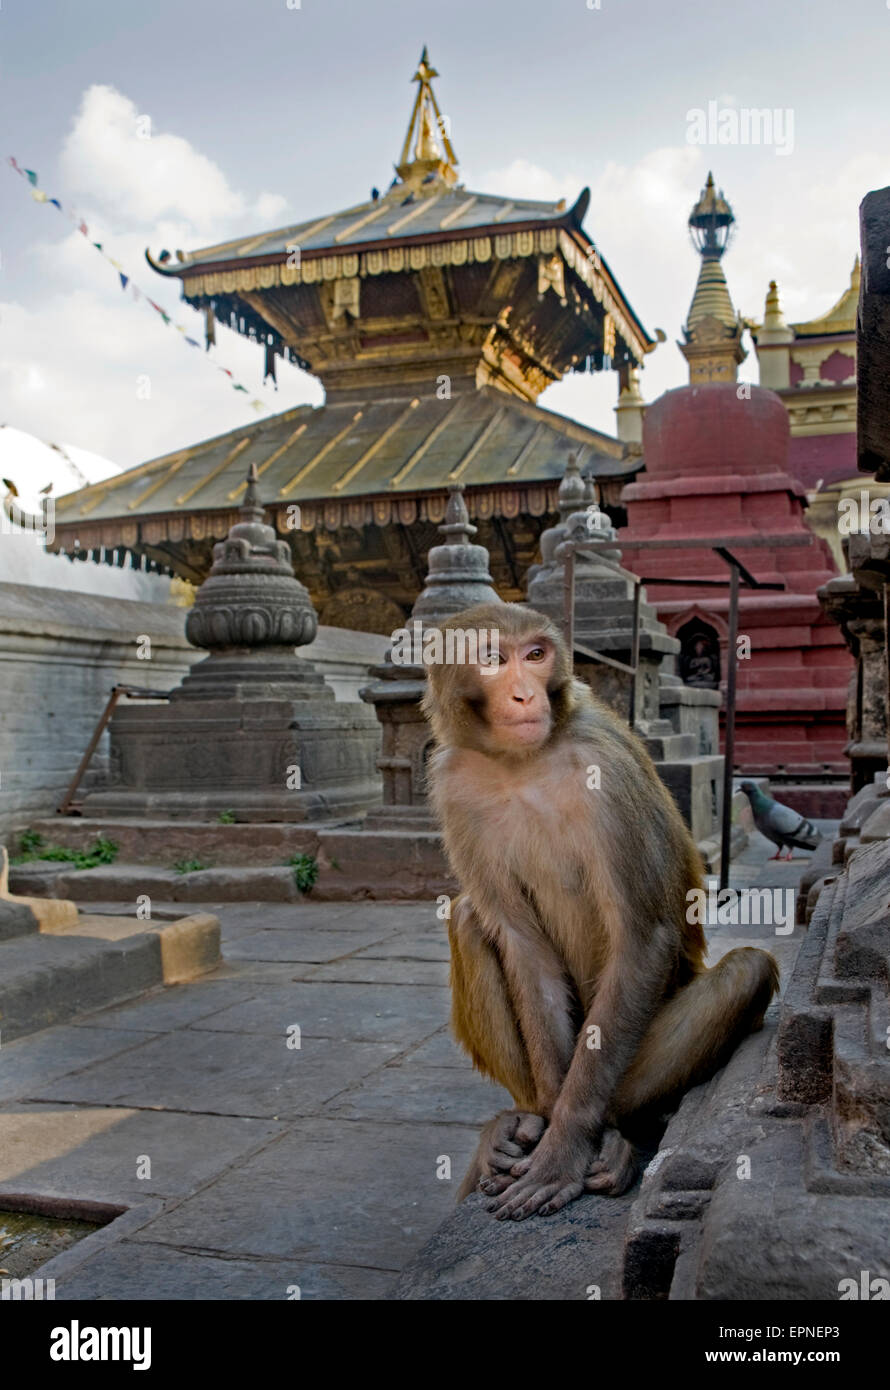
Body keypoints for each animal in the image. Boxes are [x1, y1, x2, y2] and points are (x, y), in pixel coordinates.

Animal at [421, 602, 779, 1221]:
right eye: (493, 659)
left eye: (535, 655)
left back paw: (614, 1136)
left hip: (629, 1059)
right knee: (470, 920)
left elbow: (642, 937)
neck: (519, 765)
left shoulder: (604, 766)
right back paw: (525, 1117)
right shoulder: (453, 787)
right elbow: (522, 945)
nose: (524, 695)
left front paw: (566, 1144)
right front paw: (550, 1124)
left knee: (745, 970)